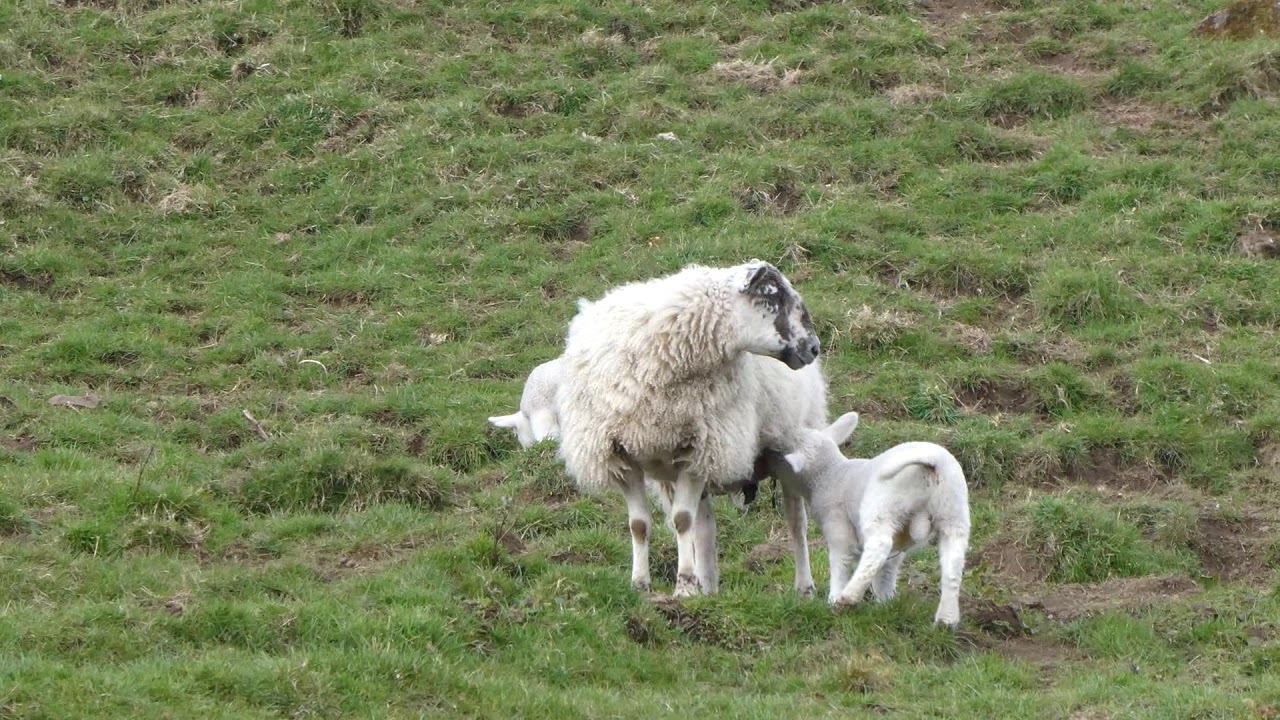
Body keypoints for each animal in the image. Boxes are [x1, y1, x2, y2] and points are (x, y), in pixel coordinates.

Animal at [555, 259, 821, 597]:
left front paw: (683, 587)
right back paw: (707, 587)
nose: (813, 347)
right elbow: (640, 524)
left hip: (790, 449)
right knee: (705, 527)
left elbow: (682, 520)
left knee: (796, 522)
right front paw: (641, 584)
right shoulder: (622, 454)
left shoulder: (701, 447)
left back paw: (804, 588)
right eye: (772, 294)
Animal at [780, 411, 971, 627]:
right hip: (953, 511)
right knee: (953, 562)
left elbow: (840, 562)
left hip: (883, 505)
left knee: (879, 547)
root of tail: (933, 460)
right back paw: (946, 620)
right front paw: (885, 603)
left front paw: (834, 598)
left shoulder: (837, 525)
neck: (831, 475)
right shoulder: (899, 541)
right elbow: (886, 571)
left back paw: (848, 598)